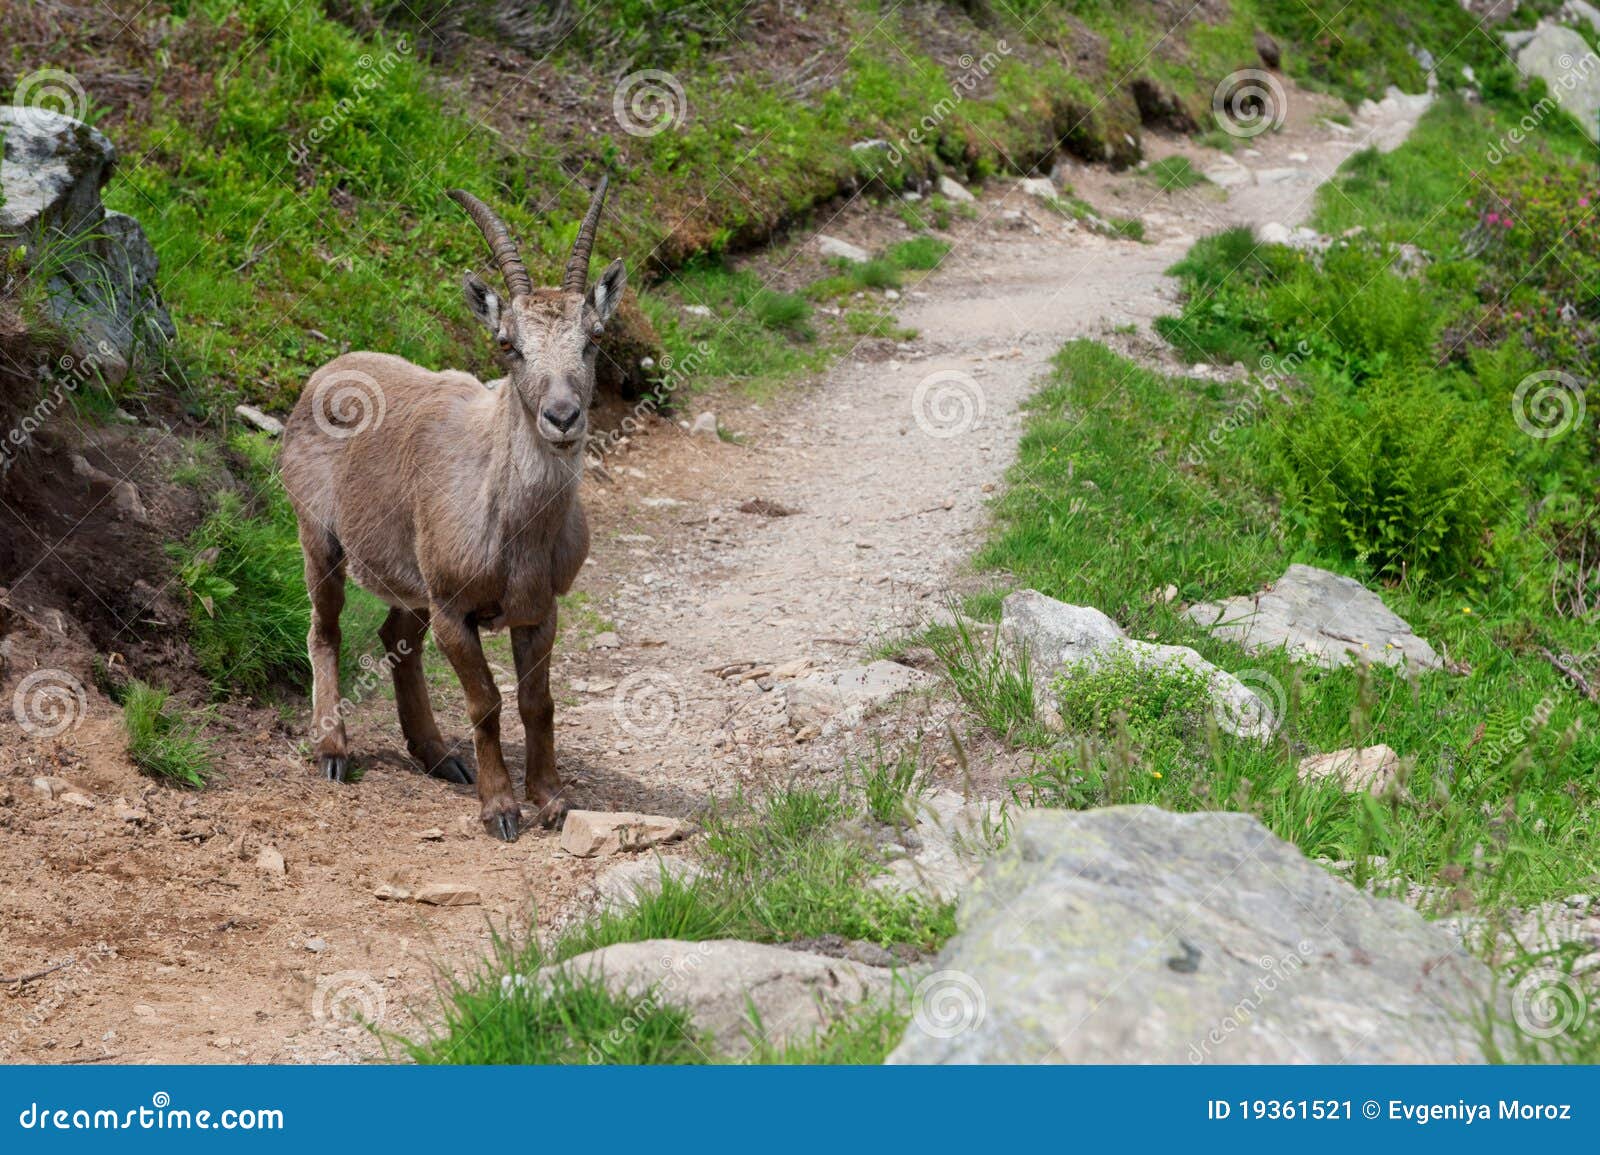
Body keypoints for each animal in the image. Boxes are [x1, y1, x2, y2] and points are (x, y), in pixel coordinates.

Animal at [280, 180, 623, 841]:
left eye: (593, 337)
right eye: (508, 344)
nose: (562, 417)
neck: (516, 529)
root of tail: (329, 370)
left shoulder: (538, 608)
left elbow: (536, 702)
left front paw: (551, 798)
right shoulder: (453, 611)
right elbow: (485, 703)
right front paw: (501, 810)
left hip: (412, 580)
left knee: (395, 637)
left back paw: (438, 755)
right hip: (320, 537)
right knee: (324, 628)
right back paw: (332, 749)